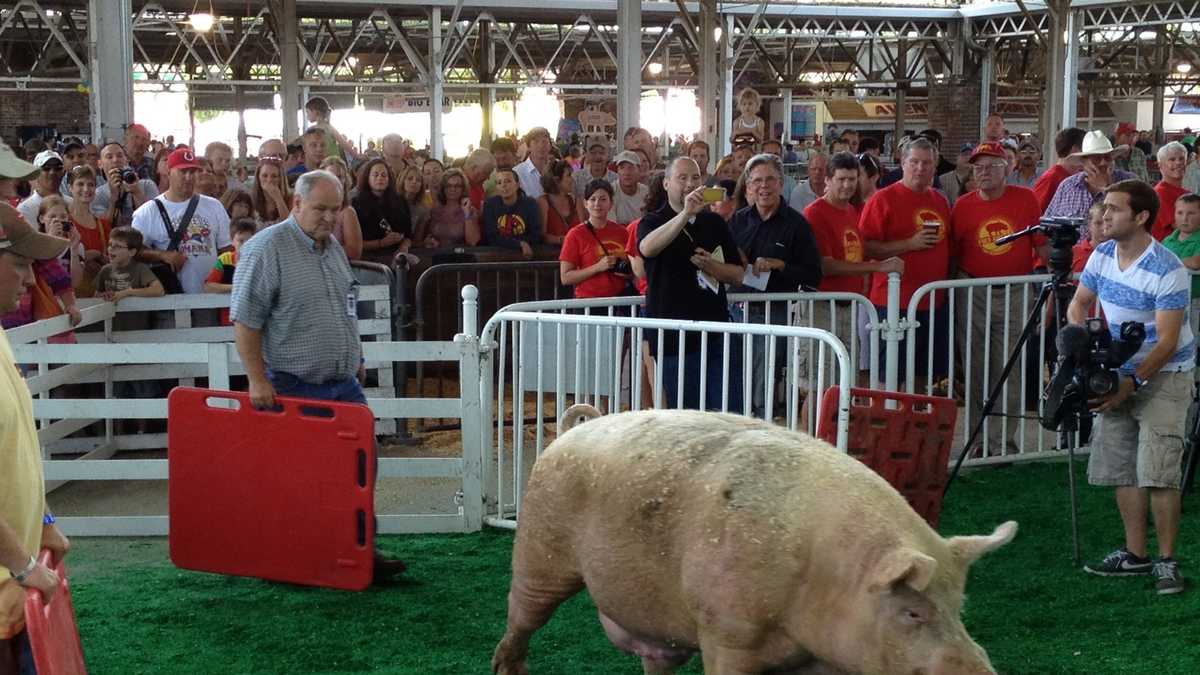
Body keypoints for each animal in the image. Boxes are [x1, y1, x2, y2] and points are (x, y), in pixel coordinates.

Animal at [493, 404, 1016, 675]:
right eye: (912, 612)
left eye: (959, 608)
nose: (980, 671)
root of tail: (569, 430)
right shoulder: (726, 630)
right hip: (541, 546)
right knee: (521, 614)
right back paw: (506, 666)